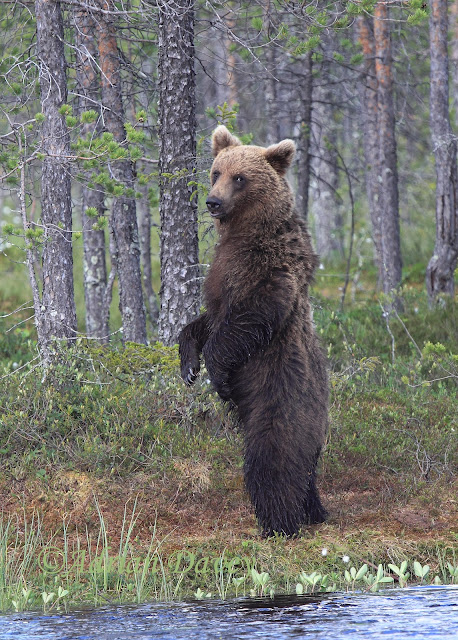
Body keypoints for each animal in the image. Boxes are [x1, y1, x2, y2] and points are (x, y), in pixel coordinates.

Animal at [178, 125, 328, 537]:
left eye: (240, 178)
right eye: (216, 171)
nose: (213, 202)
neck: (244, 232)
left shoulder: (266, 269)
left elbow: (249, 318)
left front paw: (215, 373)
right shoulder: (220, 276)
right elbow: (206, 320)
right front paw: (188, 364)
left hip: (278, 394)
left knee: (274, 457)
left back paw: (280, 521)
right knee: (307, 468)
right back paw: (315, 509)